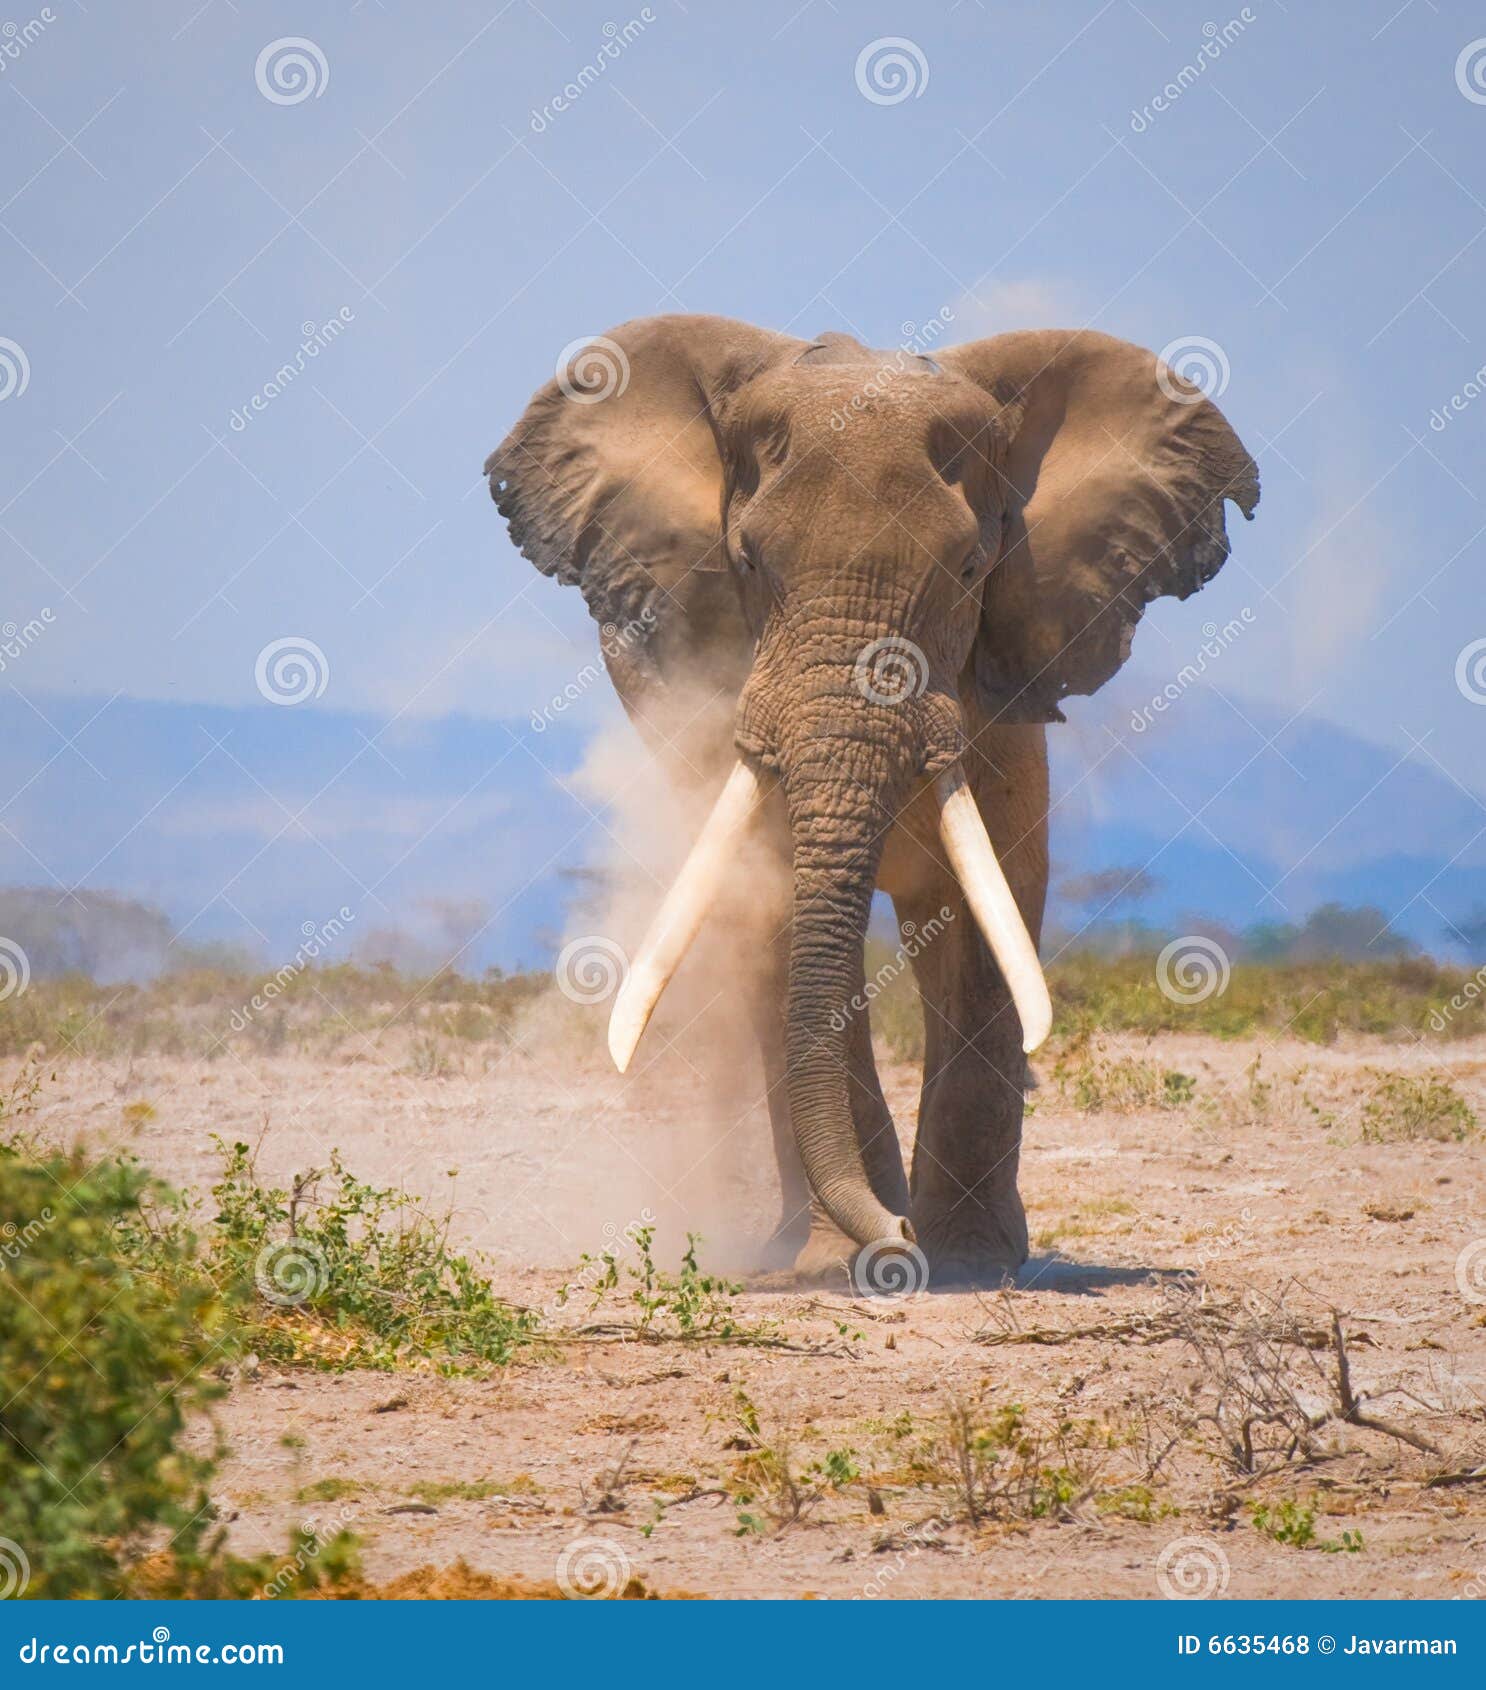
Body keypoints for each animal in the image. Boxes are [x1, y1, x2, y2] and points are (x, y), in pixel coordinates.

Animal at [486, 315, 1258, 1285]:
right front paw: (842, 1257)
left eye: (969, 568)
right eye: (748, 562)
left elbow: (990, 911)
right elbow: (783, 914)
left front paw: (967, 1261)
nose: (894, 1238)